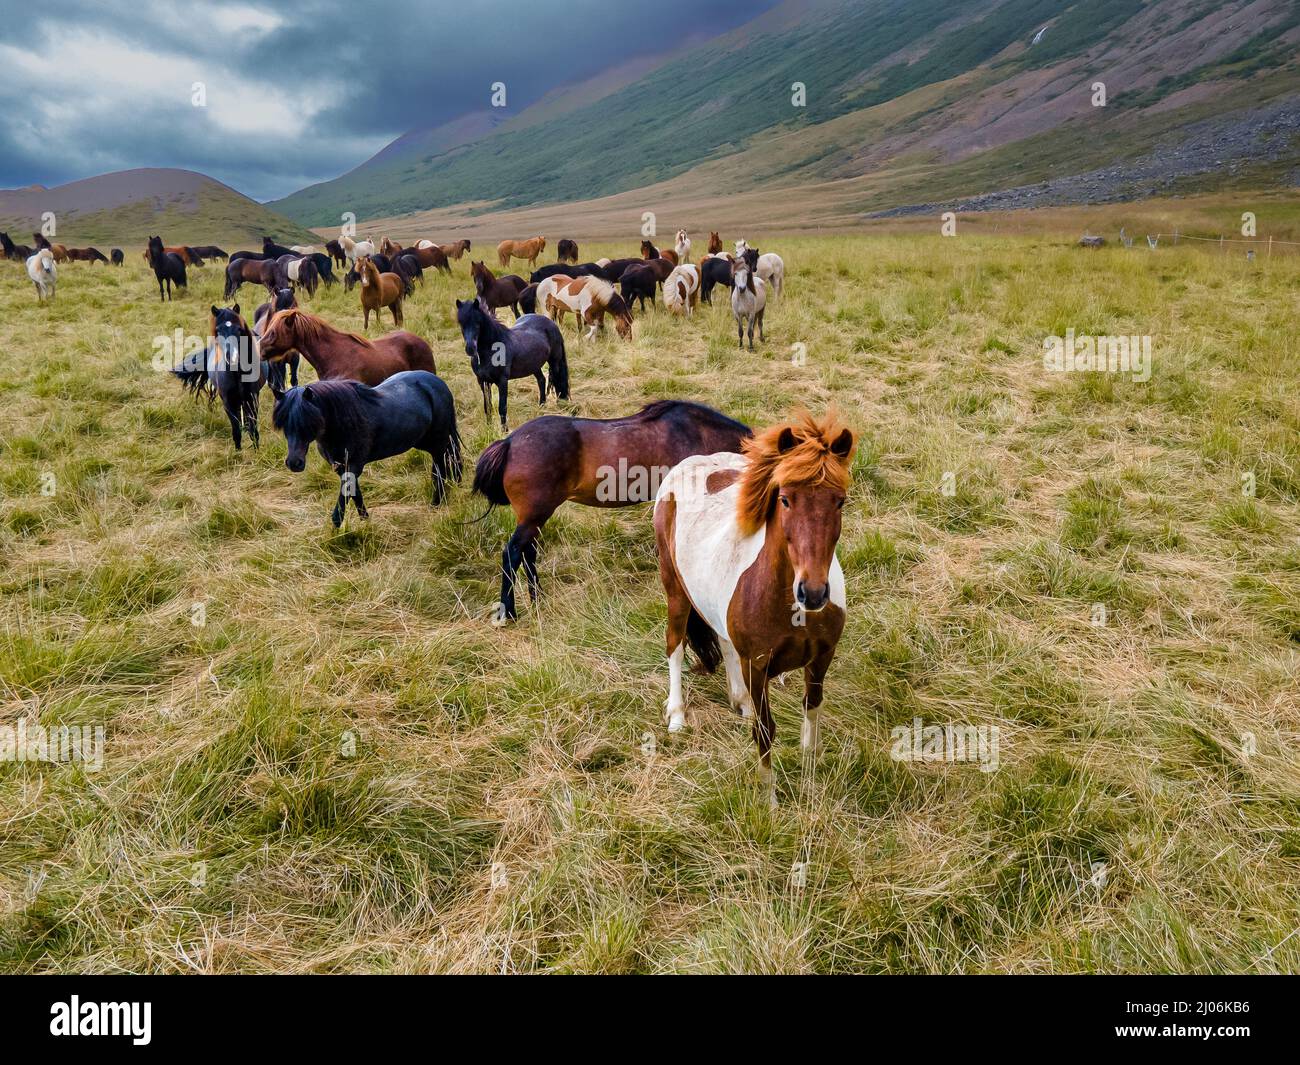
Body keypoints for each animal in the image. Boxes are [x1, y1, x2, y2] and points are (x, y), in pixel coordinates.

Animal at [171, 305, 266, 451]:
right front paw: (238, 452)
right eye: (218, 330)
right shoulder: (227, 402)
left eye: (239, 329)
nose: (231, 357)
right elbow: (236, 430)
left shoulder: (252, 398)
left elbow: (253, 429)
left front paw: (256, 451)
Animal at [274, 371, 462, 527]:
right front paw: (365, 521)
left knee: (440, 468)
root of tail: (438, 383)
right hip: (424, 442)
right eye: (283, 423)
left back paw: (436, 503)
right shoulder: (341, 467)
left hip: (437, 442)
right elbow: (355, 494)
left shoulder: (354, 465)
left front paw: (335, 532)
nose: (294, 463)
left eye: (308, 421)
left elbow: (342, 503)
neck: (343, 424)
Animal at [455, 297, 569, 430]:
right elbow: (487, 407)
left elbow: (502, 407)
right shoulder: (483, 382)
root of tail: (551, 323)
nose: (470, 349)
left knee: (557, 381)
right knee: (541, 380)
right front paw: (489, 428)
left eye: (478, 323)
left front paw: (504, 430)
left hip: (554, 362)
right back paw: (541, 406)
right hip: (533, 365)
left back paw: (558, 404)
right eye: (461, 323)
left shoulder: (502, 381)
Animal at [473, 400, 750, 622]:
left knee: (528, 552)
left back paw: (538, 598)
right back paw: (509, 612)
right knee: (512, 553)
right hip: (535, 515)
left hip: (534, 517)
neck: (699, 434)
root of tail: (510, 443)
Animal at [653, 410, 854, 806]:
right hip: (676, 593)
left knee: (723, 640)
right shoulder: (758, 666)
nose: (813, 593)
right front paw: (770, 801)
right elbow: (764, 730)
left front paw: (810, 783)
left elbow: (812, 714)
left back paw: (738, 700)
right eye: (786, 500)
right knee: (675, 645)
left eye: (839, 501)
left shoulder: (822, 656)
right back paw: (678, 716)